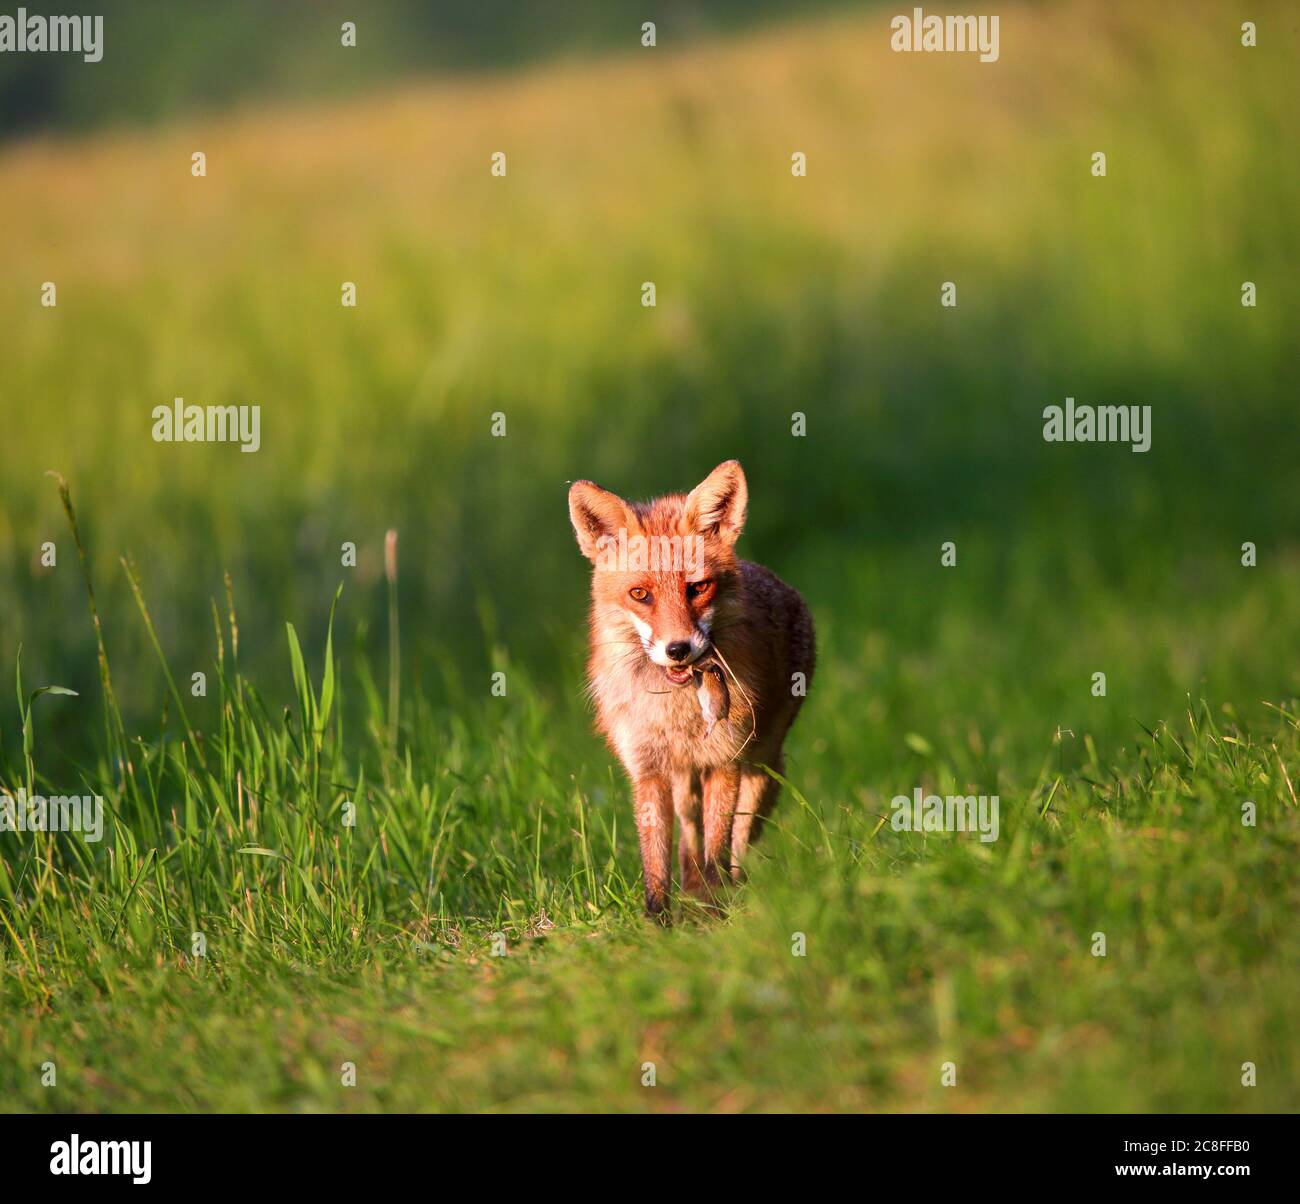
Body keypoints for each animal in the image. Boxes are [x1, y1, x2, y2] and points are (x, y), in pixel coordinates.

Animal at [568, 460, 815, 919]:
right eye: (640, 594)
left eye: (698, 587)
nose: (678, 649)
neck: (678, 713)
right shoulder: (647, 769)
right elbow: (656, 861)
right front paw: (658, 921)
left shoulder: (724, 760)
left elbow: (719, 848)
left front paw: (717, 912)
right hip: (684, 784)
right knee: (688, 837)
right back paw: (692, 889)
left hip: (761, 767)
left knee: (738, 844)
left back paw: (727, 892)